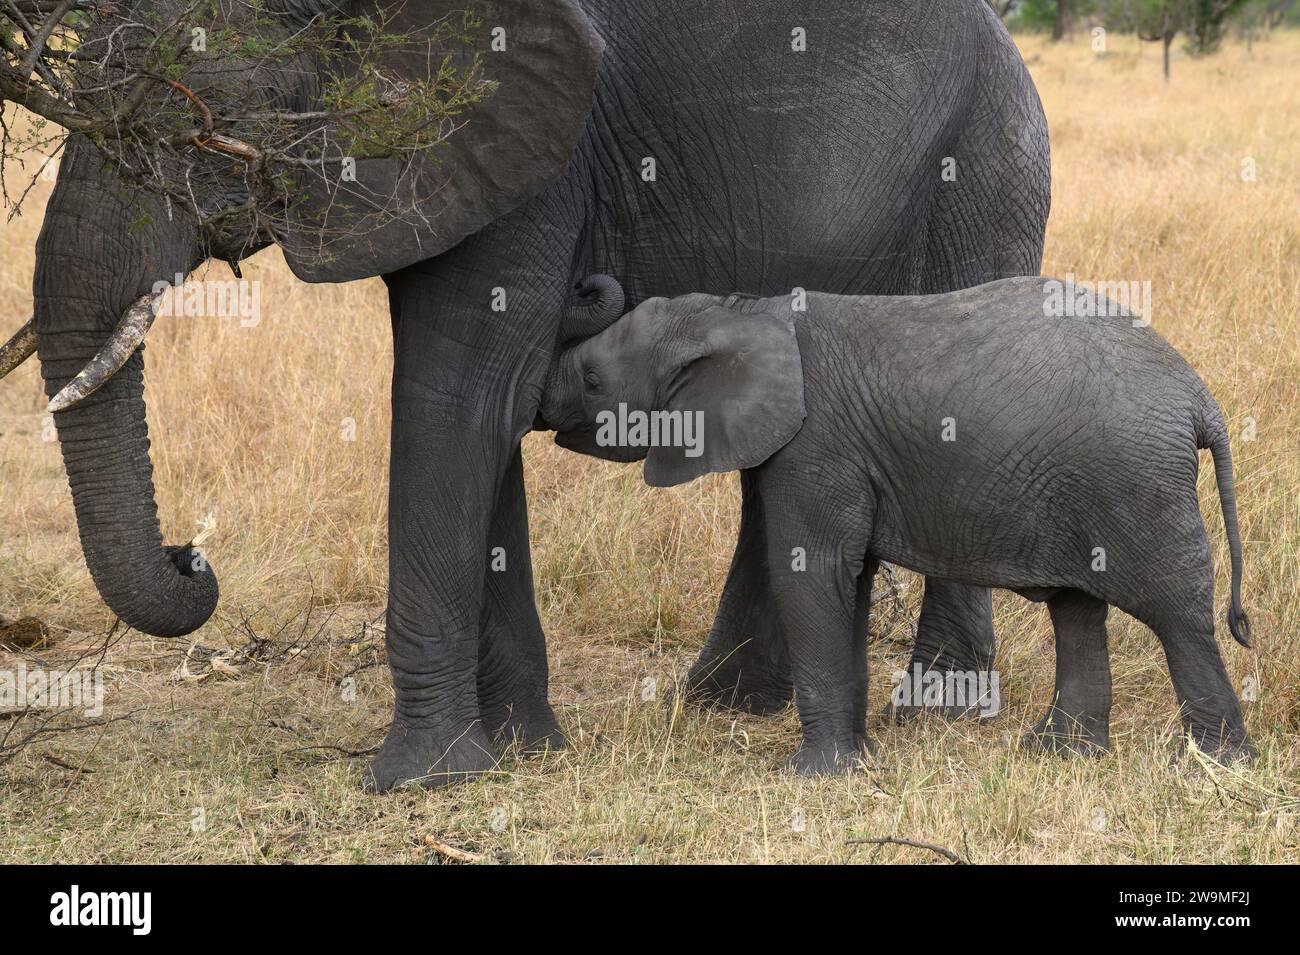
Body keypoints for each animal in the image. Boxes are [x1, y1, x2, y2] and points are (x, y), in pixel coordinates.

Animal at [0, 0, 1051, 791]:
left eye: (207, 111)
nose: (192, 555)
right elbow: (480, 410)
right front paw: (518, 749)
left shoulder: (535, 151)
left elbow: (457, 402)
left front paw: (420, 779)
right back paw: (724, 702)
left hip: (985, 167)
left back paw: (934, 708)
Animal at [538, 278, 1256, 773]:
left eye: (595, 381)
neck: (742, 309)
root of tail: (1200, 399)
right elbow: (848, 581)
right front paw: (856, 758)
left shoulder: (815, 446)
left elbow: (812, 571)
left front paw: (814, 776)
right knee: (1078, 609)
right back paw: (1058, 754)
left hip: (1134, 482)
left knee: (1176, 611)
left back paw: (1217, 765)